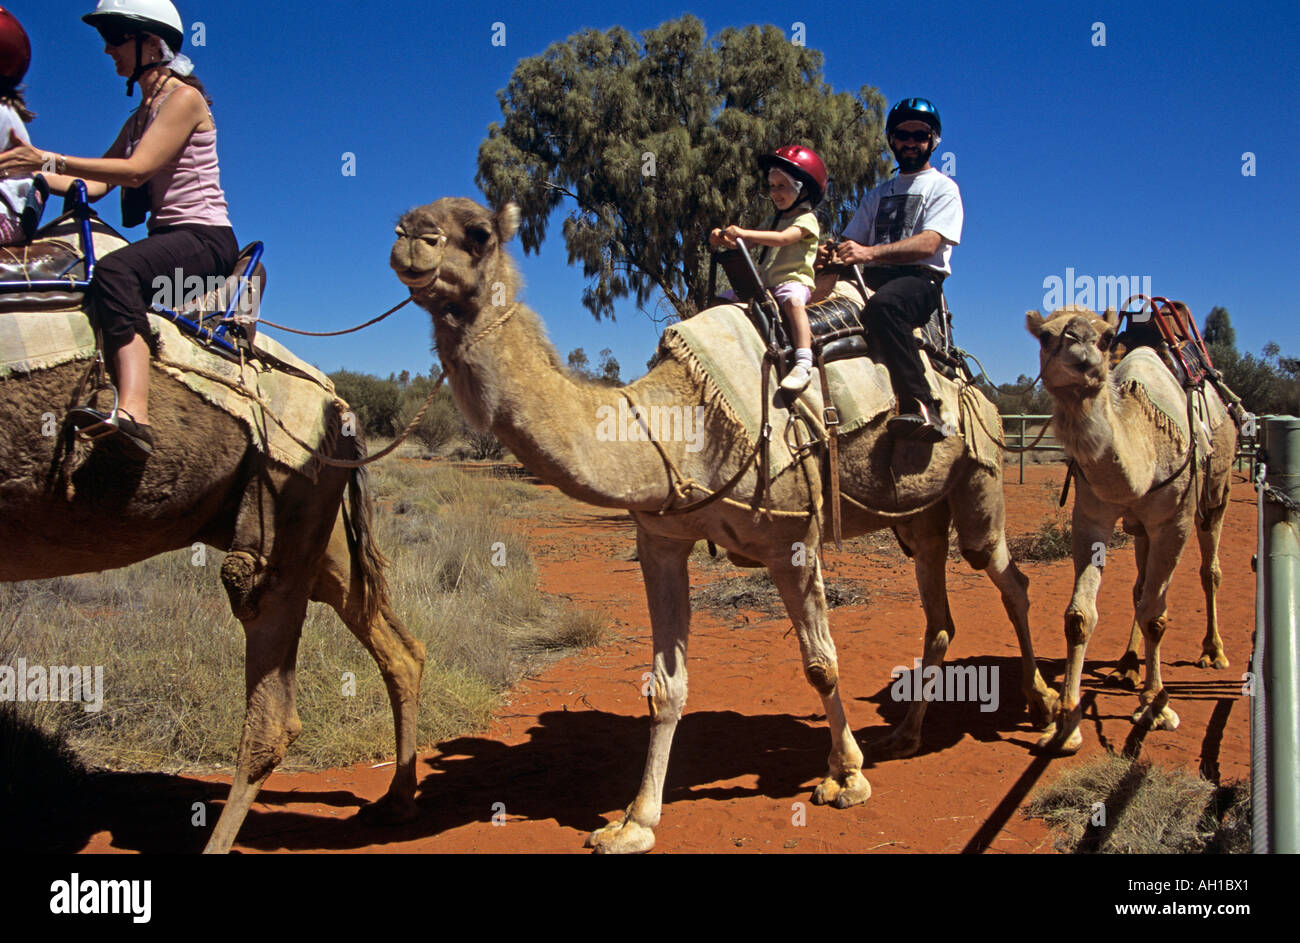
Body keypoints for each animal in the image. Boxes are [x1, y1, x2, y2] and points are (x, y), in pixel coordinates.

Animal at [1, 214, 426, 853]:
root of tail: (341, 406)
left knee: (271, 704)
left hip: (280, 515)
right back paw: (396, 803)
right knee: (396, 644)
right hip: (313, 531)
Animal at [390, 196, 1058, 854]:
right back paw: (907, 735)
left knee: (1008, 577)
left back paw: (1050, 710)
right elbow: (666, 685)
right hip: (919, 516)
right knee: (940, 613)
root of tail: (966, 375)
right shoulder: (662, 540)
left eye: (477, 232)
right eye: (415, 218)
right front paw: (634, 822)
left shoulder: (792, 539)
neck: (677, 421)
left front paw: (847, 778)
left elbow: (821, 663)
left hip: (979, 473)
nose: (408, 237)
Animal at [1026, 306, 1235, 755]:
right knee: (1140, 589)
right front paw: (1064, 726)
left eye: (1107, 338)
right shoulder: (1092, 514)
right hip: (1139, 529)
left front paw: (1156, 707)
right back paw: (1125, 665)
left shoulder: (1174, 521)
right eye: (1046, 336)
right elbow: (1080, 616)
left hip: (1217, 493)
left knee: (1209, 569)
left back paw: (1213, 652)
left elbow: (1158, 615)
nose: (1083, 362)